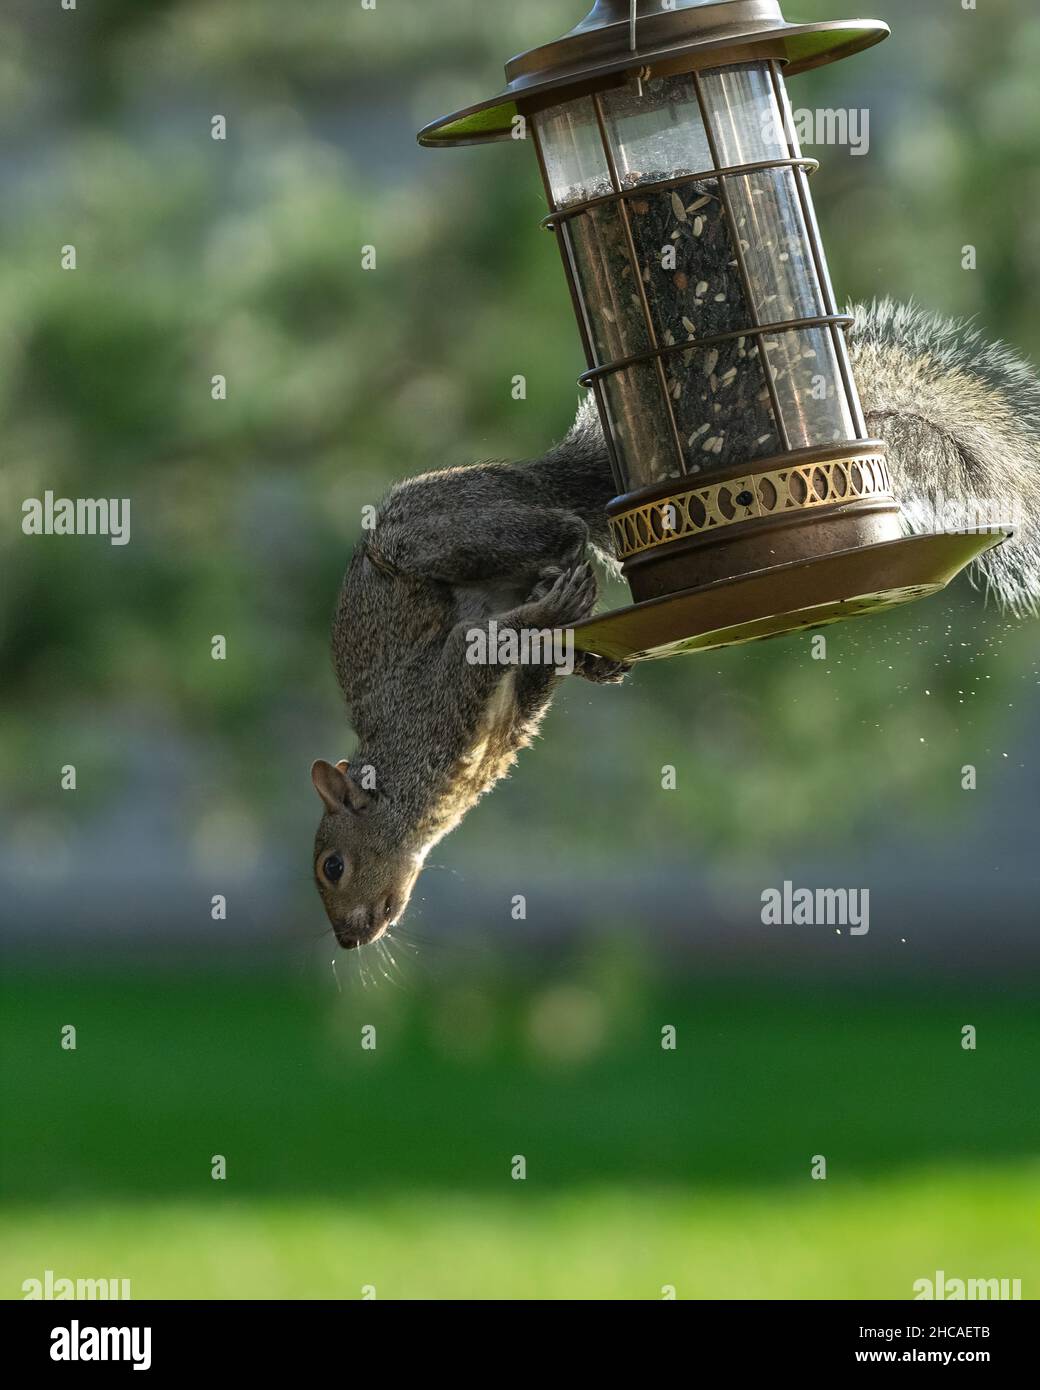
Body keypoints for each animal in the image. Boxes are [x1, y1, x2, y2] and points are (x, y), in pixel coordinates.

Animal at [311, 299, 1040, 948]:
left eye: (332, 866)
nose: (348, 940)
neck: (421, 789)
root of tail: (520, 478)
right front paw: (558, 623)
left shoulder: (439, 694)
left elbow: (481, 644)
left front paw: (549, 611)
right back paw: (590, 644)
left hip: (433, 535)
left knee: (560, 528)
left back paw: (567, 573)